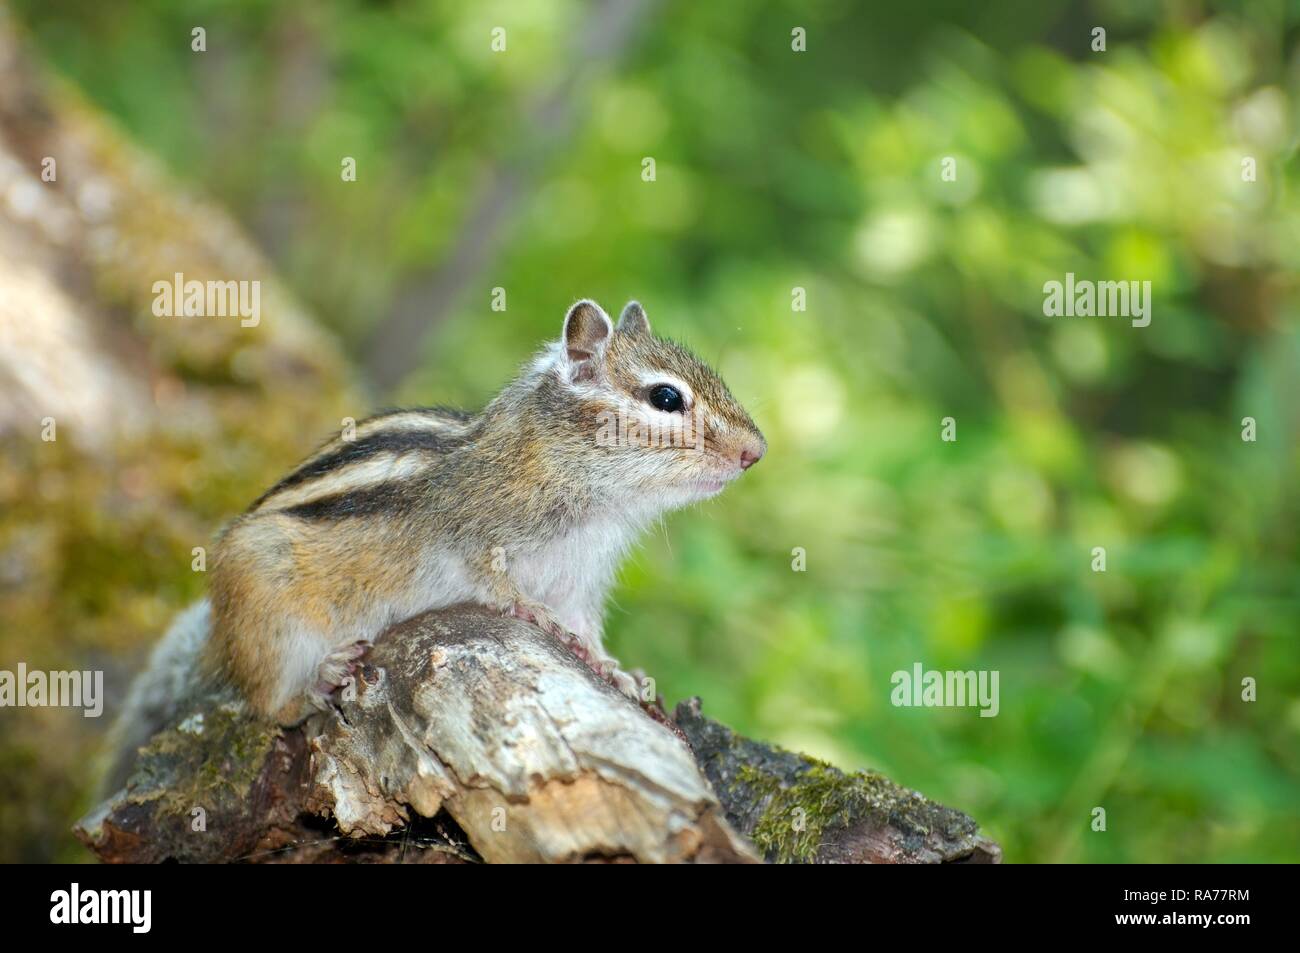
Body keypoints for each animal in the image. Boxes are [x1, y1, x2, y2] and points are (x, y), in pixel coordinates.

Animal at [108, 298, 765, 761]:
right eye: (666, 398)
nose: (755, 452)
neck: (597, 498)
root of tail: (217, 638)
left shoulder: (580, 582)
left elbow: (585, 628)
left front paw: (615, 670)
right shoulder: (477, 534)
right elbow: (499, 584)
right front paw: (536, 615)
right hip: (268, 612)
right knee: (268, 705)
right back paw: (319, 680)